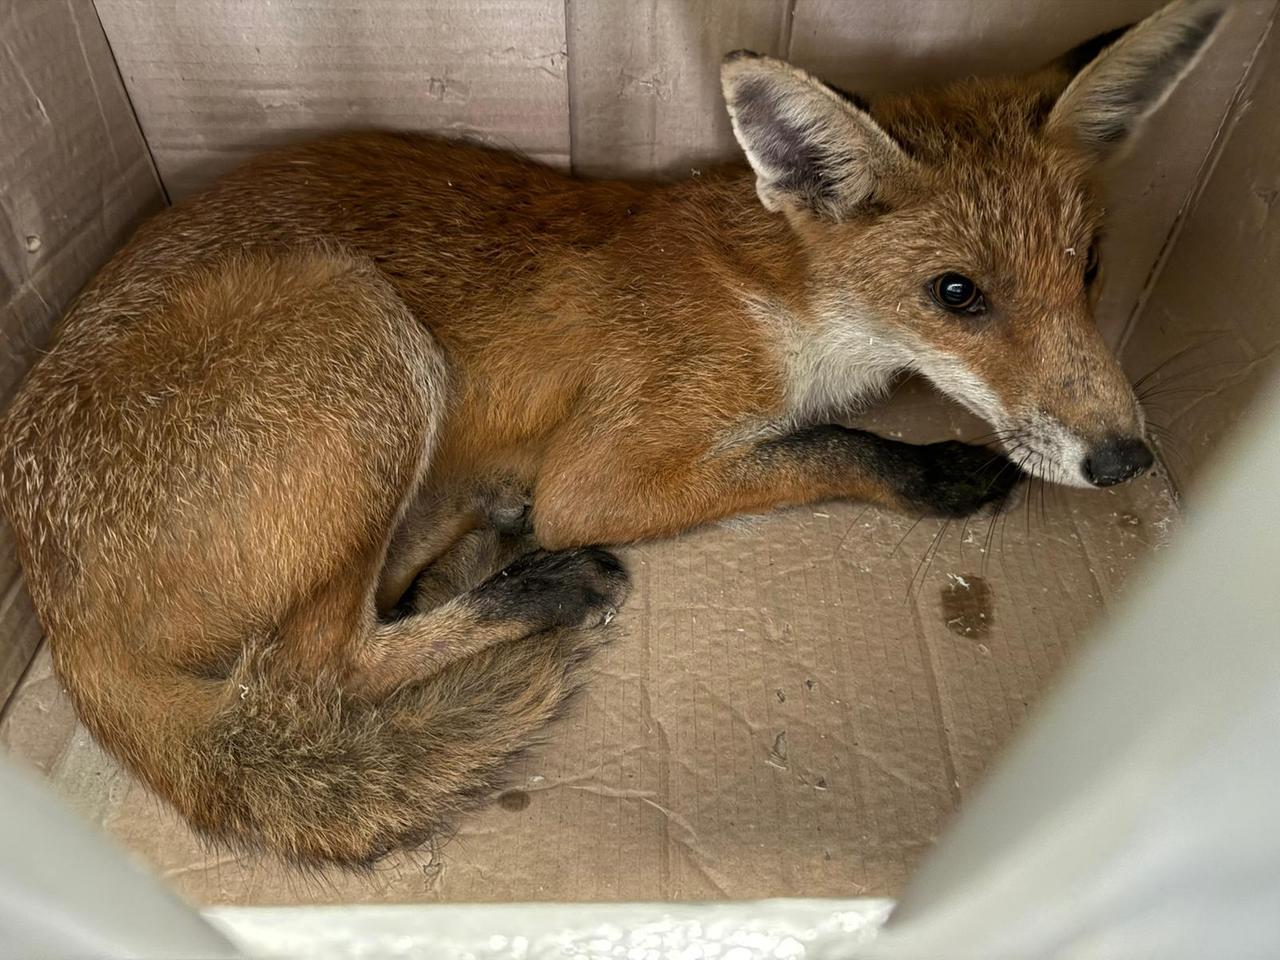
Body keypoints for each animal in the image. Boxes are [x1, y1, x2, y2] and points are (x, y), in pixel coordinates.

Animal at [0, 0, 1222, 866]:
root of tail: (56, 612)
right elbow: (823, 453)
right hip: (365, 336)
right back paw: (536, 589)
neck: (782, 307)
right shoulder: (605, 477)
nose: (1126, 459)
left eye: (1091, 268)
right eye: (957, 294)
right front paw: (932, 473)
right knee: (318, 666)